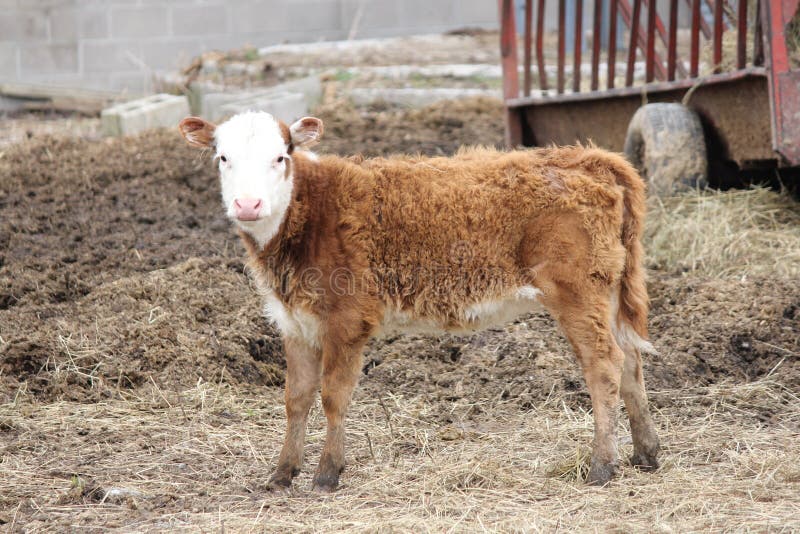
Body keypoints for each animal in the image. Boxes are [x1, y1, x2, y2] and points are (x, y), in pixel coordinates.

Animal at [178, 111, 661, 492]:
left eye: (281, 157)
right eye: (223, 158)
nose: (248, 204)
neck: (308, 215)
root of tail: (589, 158)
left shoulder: (347, 318)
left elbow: (333, 396)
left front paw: (327, 473)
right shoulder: (295, 322)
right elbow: (296, 398)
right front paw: (281, 474)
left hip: (577, 291)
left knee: (605, 364)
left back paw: (602, 465)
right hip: (609, 291)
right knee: (632, 361)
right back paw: (646, 453)